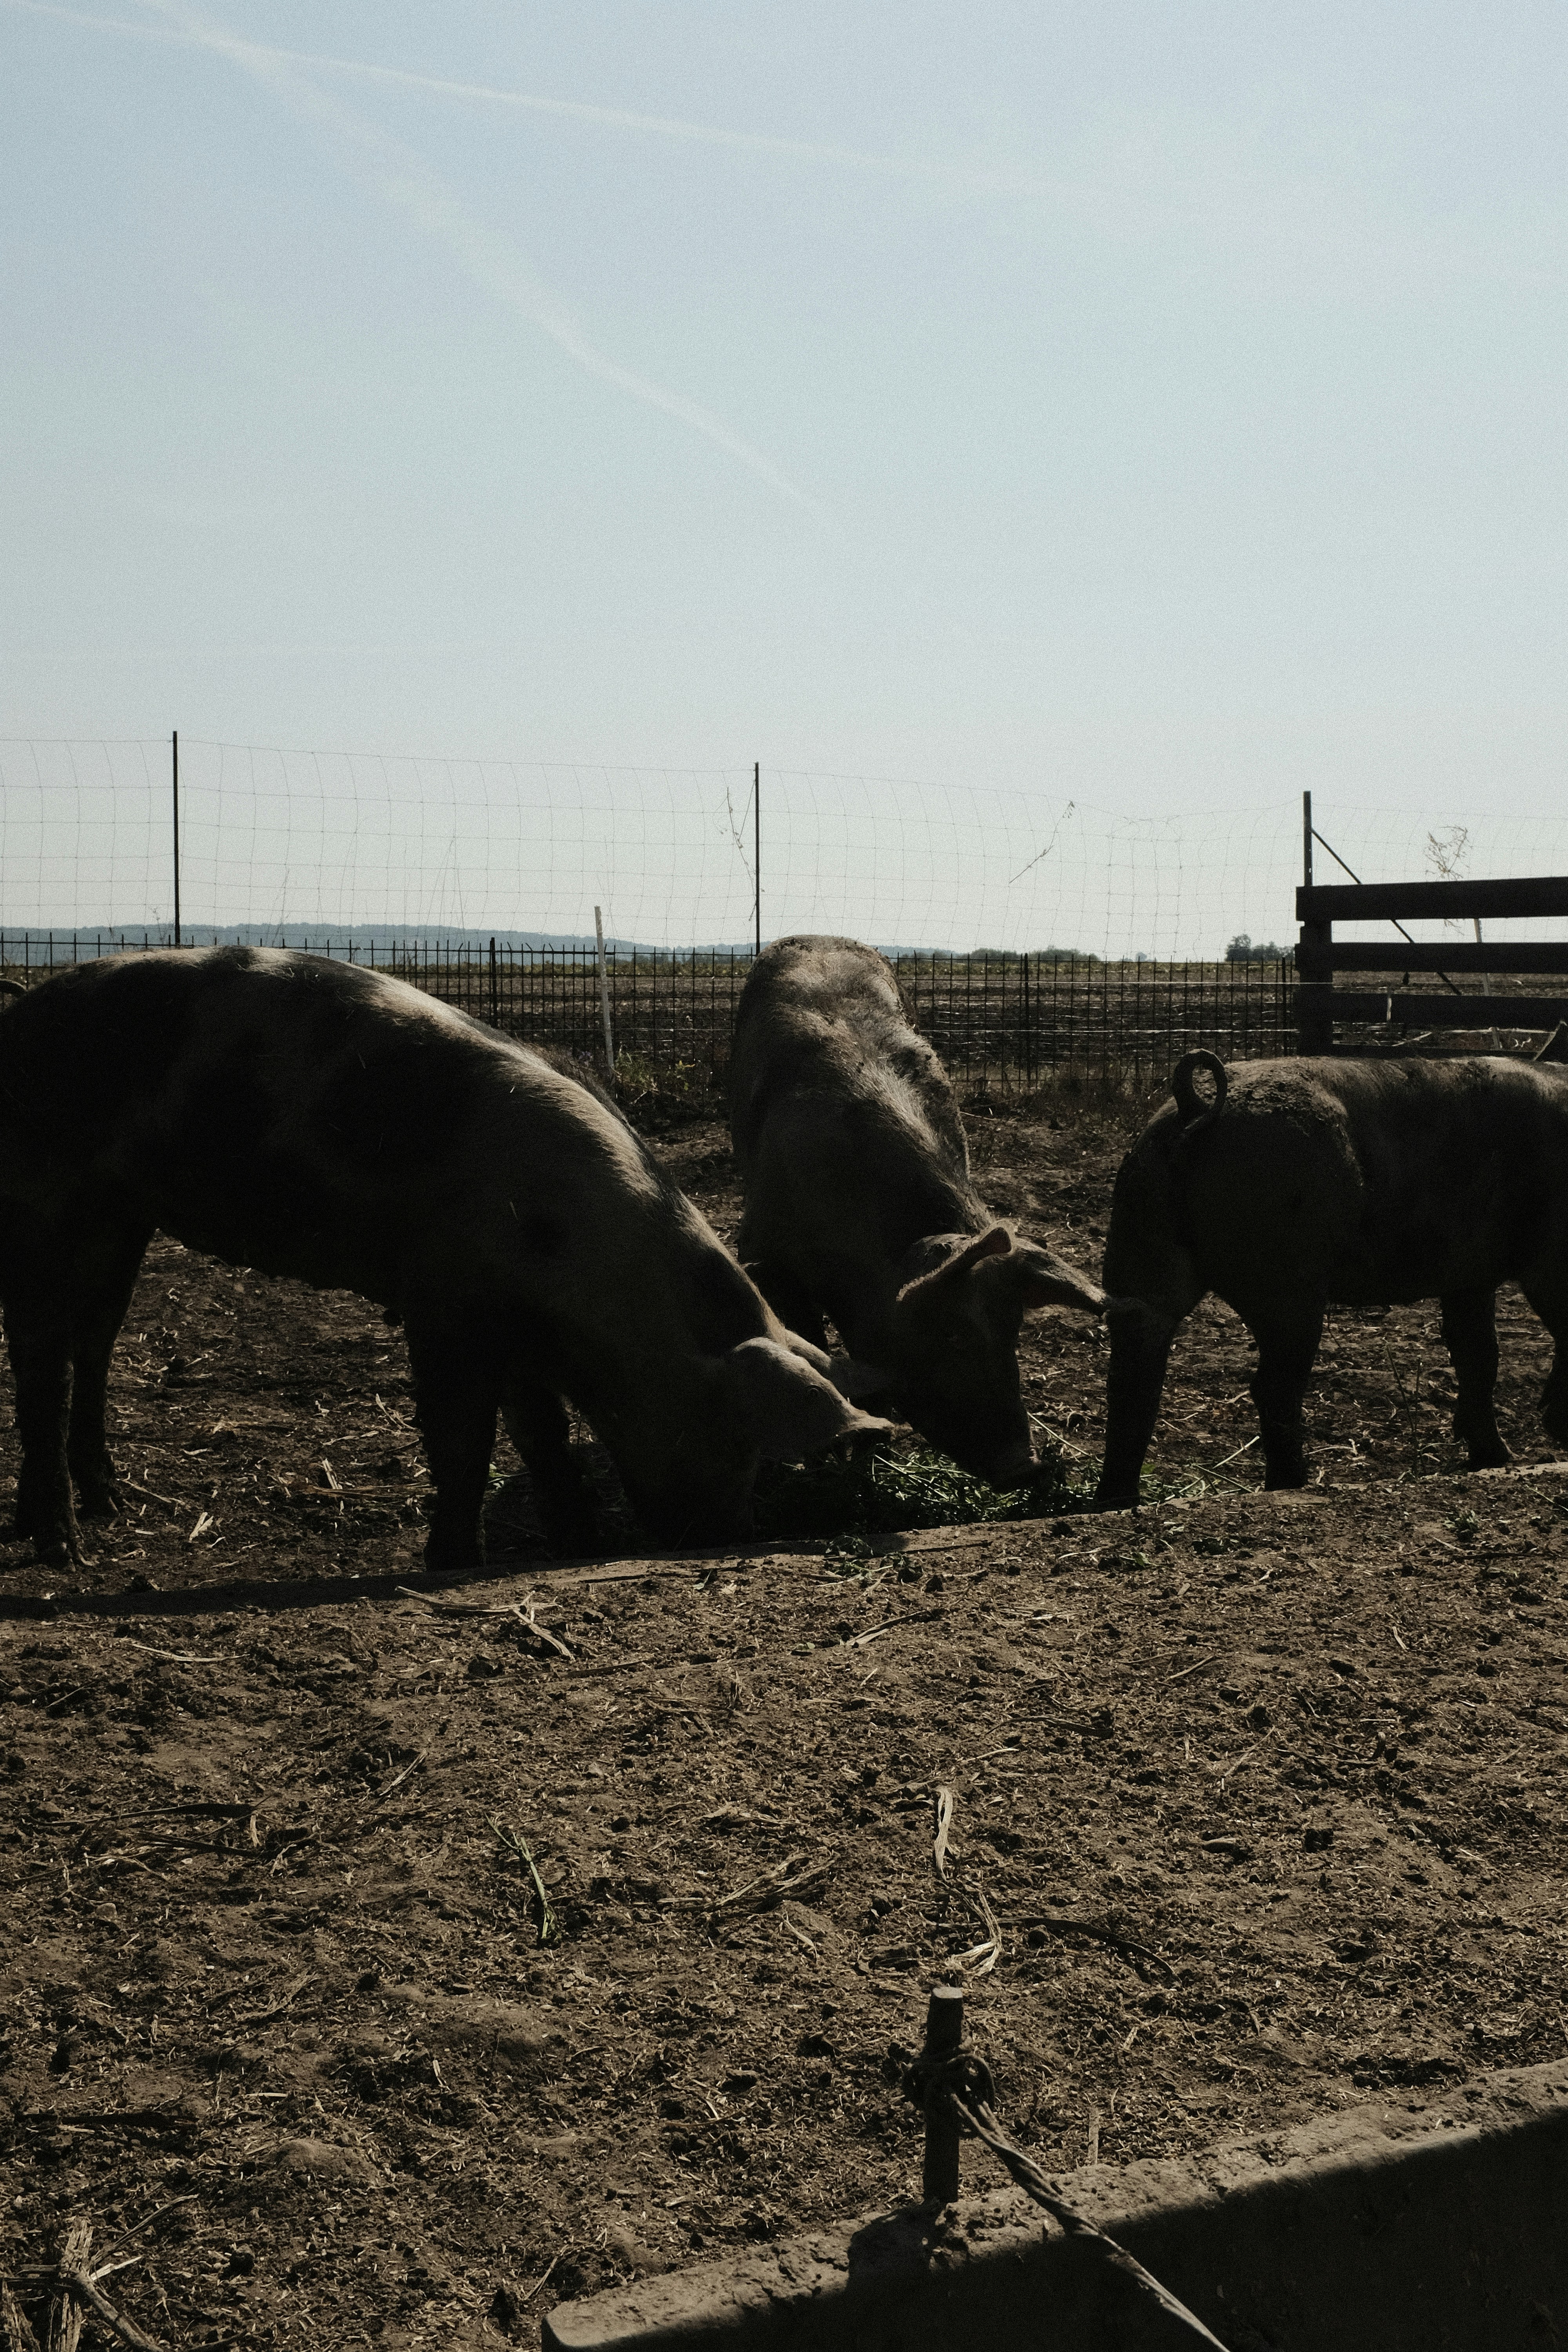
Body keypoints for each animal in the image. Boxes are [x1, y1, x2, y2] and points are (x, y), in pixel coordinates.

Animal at [0, 947, 890, 1569]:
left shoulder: (526, 1330)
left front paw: (579, 1543)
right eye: (736, 1436)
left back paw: (111, 1504)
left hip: (122, 1220)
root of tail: (20, 1017)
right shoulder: (444, 1303)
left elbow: (543, 1437)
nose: (724, 1533)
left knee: (94, 1342)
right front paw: (453, 1562)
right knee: (40, 1357)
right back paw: (65, 1549)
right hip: (44, 1196)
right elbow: (462, 1437)